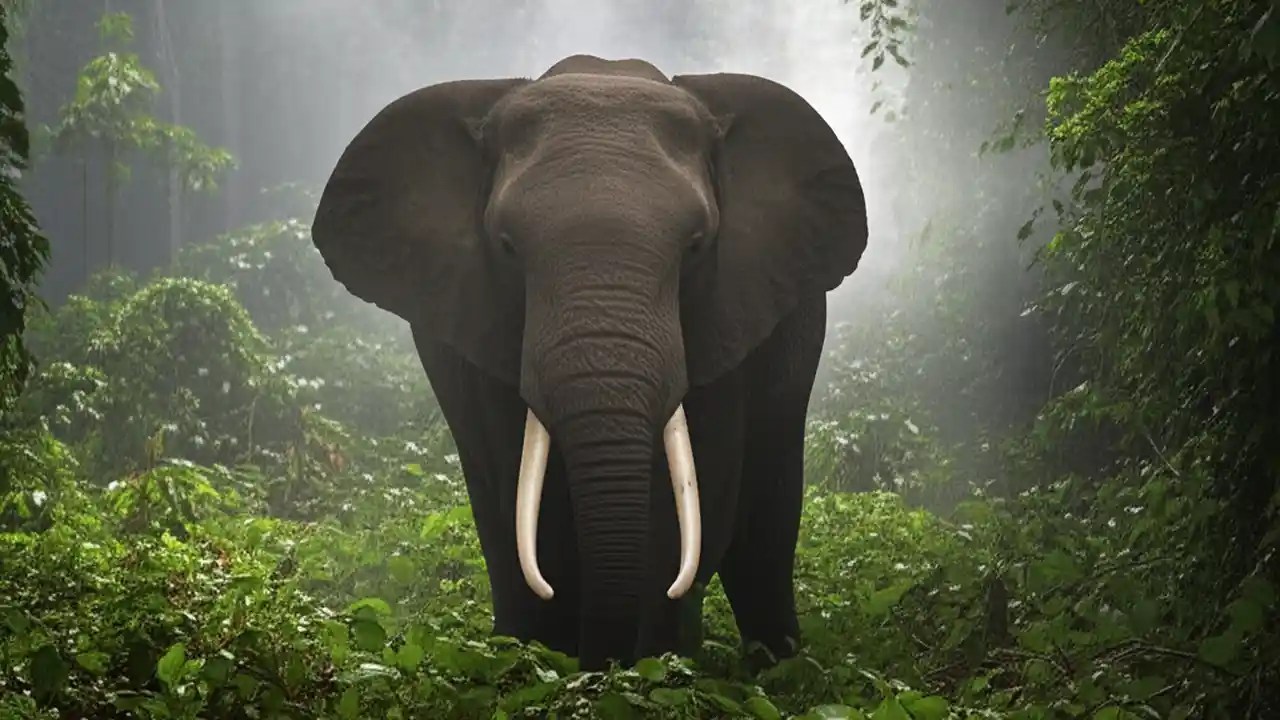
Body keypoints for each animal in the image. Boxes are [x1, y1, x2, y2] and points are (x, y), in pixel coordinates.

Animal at [311, 54, 868, 671]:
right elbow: (521, 489)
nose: (602, 662)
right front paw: (550, 662)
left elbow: (699, 489)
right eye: (506, 247)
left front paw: (654, 666)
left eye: (697, 246)